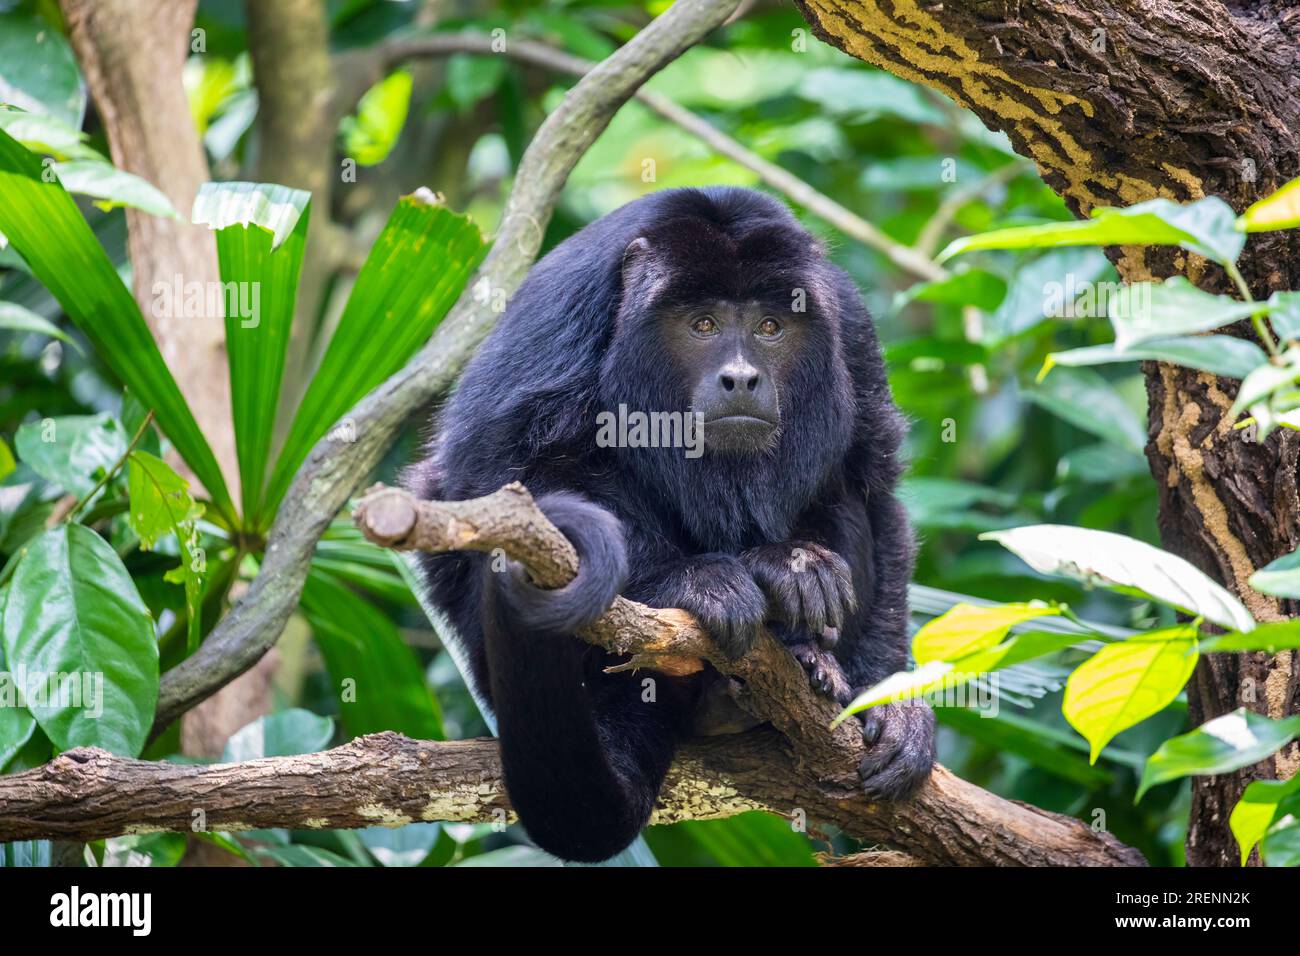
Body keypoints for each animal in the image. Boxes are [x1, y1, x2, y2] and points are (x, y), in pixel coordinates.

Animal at [409, 186, 934, 862]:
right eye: (702, 324)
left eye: (770, 326)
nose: (741, 376)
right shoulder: (562, 309)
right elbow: (493, 475)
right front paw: (711, 580)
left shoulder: (850, 319)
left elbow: (875, 488)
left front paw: (891, 703)